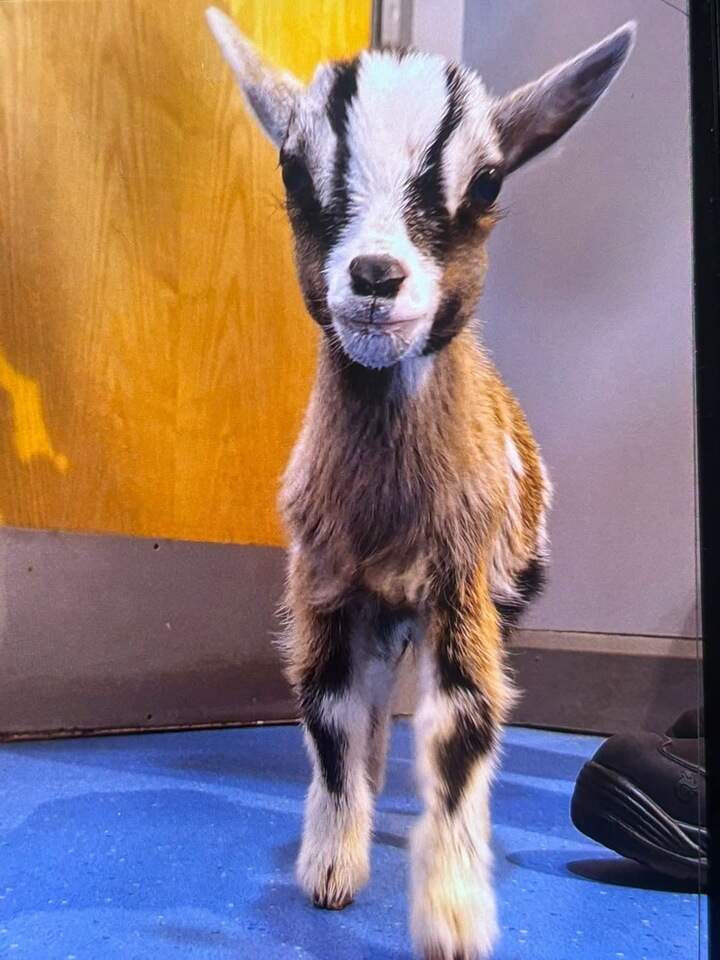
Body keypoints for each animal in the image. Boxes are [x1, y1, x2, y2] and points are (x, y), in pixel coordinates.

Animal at [206, 9, 635, 958]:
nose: (375, 278)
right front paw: (333, 870)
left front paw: (453, 918)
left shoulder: (460, 587)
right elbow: (331, 712)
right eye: (294, 171)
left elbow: (464, 726)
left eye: (486, 181)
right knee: (368, 711)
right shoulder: (325, 586)